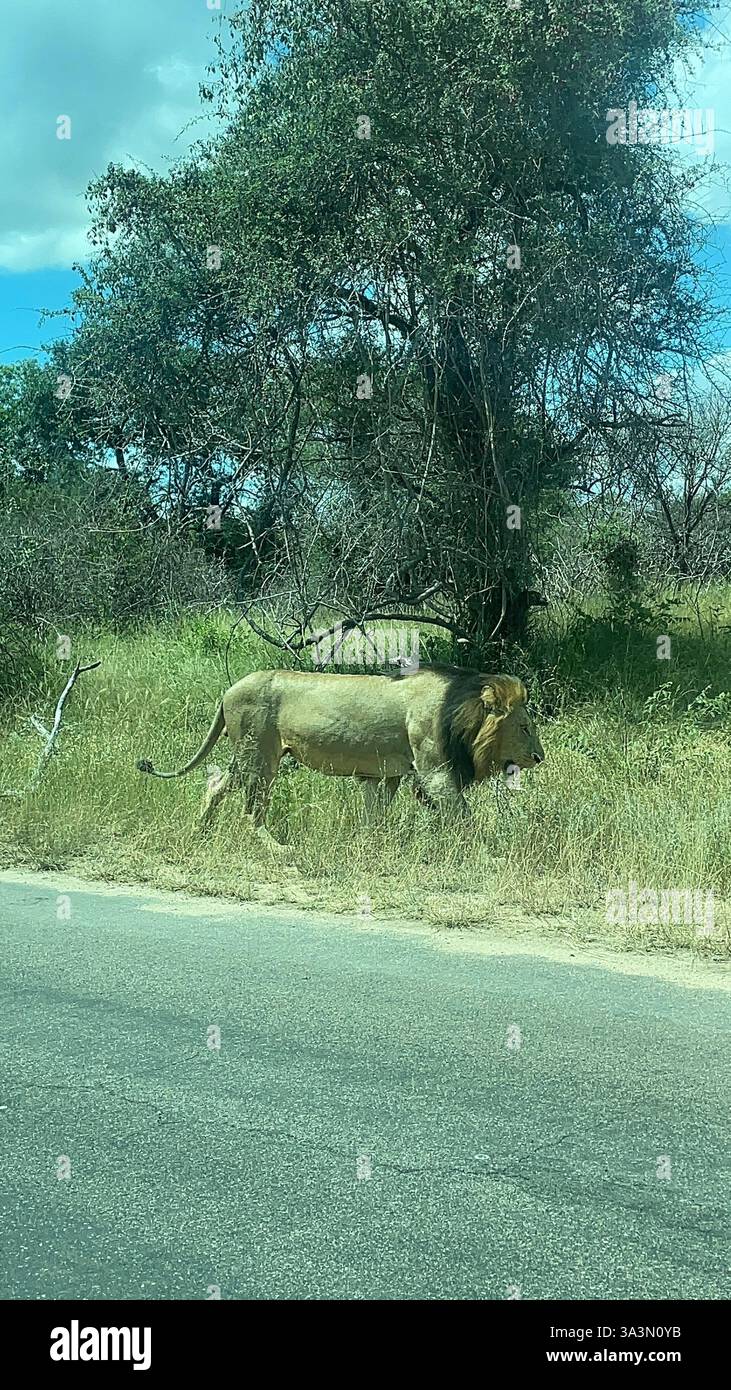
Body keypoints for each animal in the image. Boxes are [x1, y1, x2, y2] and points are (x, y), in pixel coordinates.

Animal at [136, 664, 544, 836]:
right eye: (525, 726)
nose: (540, 757)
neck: (460, 712)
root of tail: (229, 690)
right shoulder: (434, 773)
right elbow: (464, 817)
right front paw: (484, 851)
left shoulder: (386, 774)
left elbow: (375, 815)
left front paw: (372, 845)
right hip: (260, 758)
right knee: (252, 812)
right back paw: (275, 847)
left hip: (249, 755)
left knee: (217, 783)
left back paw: (201, 830)